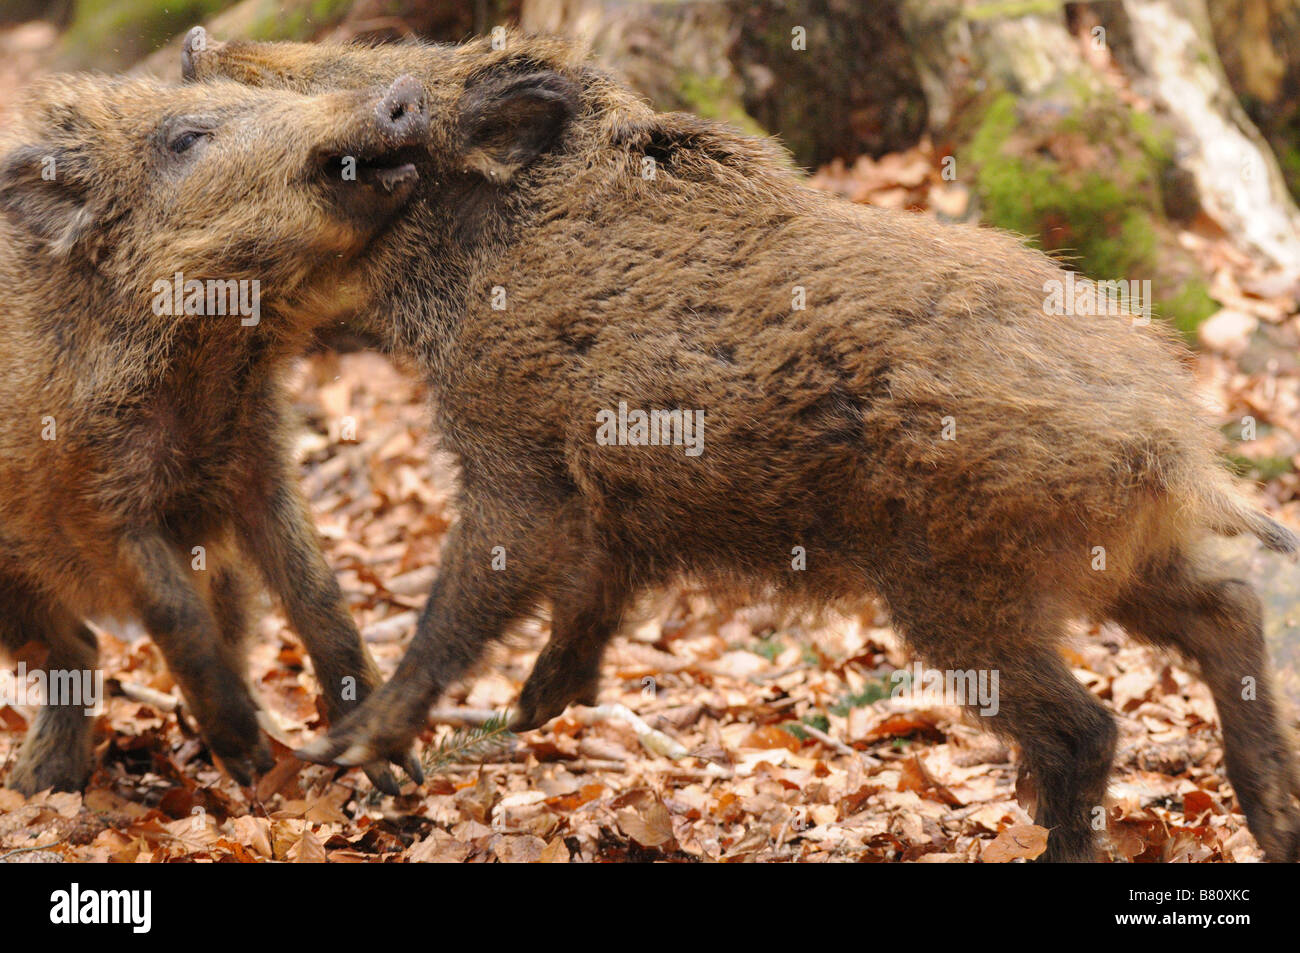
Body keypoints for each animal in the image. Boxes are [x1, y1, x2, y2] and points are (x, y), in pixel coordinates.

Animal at [0, 71, 430, 794]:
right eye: (185, 139)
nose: (401, 88)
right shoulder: (89, 504)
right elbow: (175, 615)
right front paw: (249, 752)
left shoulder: (261, 462)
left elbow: (319, 595)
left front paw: (394, 773)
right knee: (76, 648)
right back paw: (40, 785)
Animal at [186, 30, 1300, 861]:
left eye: (389, 84)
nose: (197, 40)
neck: (484, 261)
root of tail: (1177, 438)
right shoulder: (618, 508)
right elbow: (591, 594)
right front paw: (539, 710)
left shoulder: (515, 456)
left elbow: (467, 596)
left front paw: (348, 749)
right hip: (1112, 562)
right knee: (1227, 609)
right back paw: (1274, 822)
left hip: (961, 582)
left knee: (1087, 725)